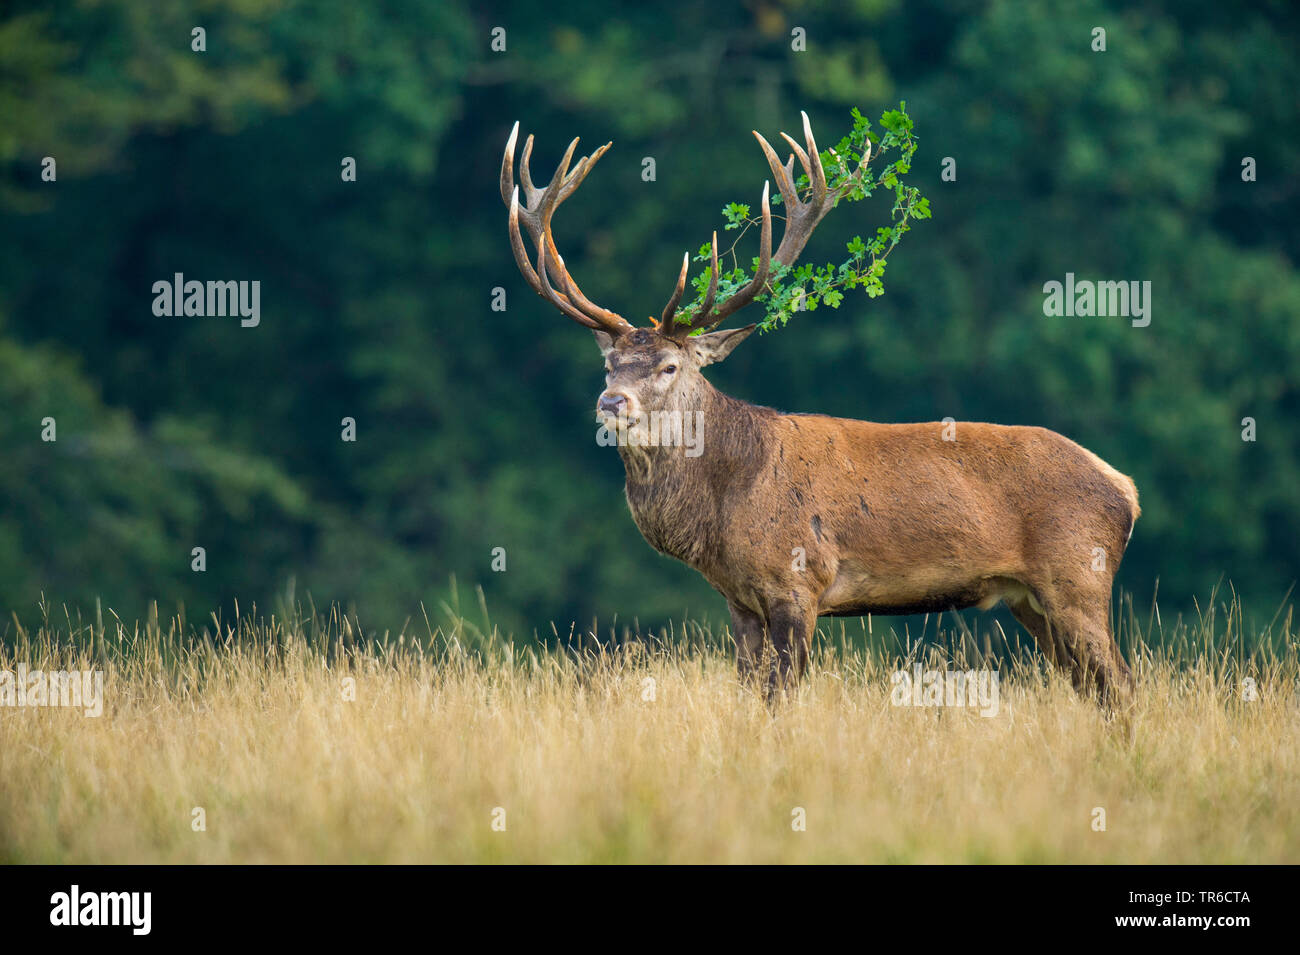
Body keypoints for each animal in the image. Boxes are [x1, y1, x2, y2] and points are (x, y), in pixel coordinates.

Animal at [499, 111, 1140, 704]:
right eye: (609, 365)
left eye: (669, 366)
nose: (611, 402)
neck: (724, 505)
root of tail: (1125, 489)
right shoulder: (739, 600)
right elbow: (750, 696)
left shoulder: (798, 579)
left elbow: (780, 697)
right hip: (1030, 598)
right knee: (1097, 687)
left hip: (1077, 576)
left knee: (1123, 680)